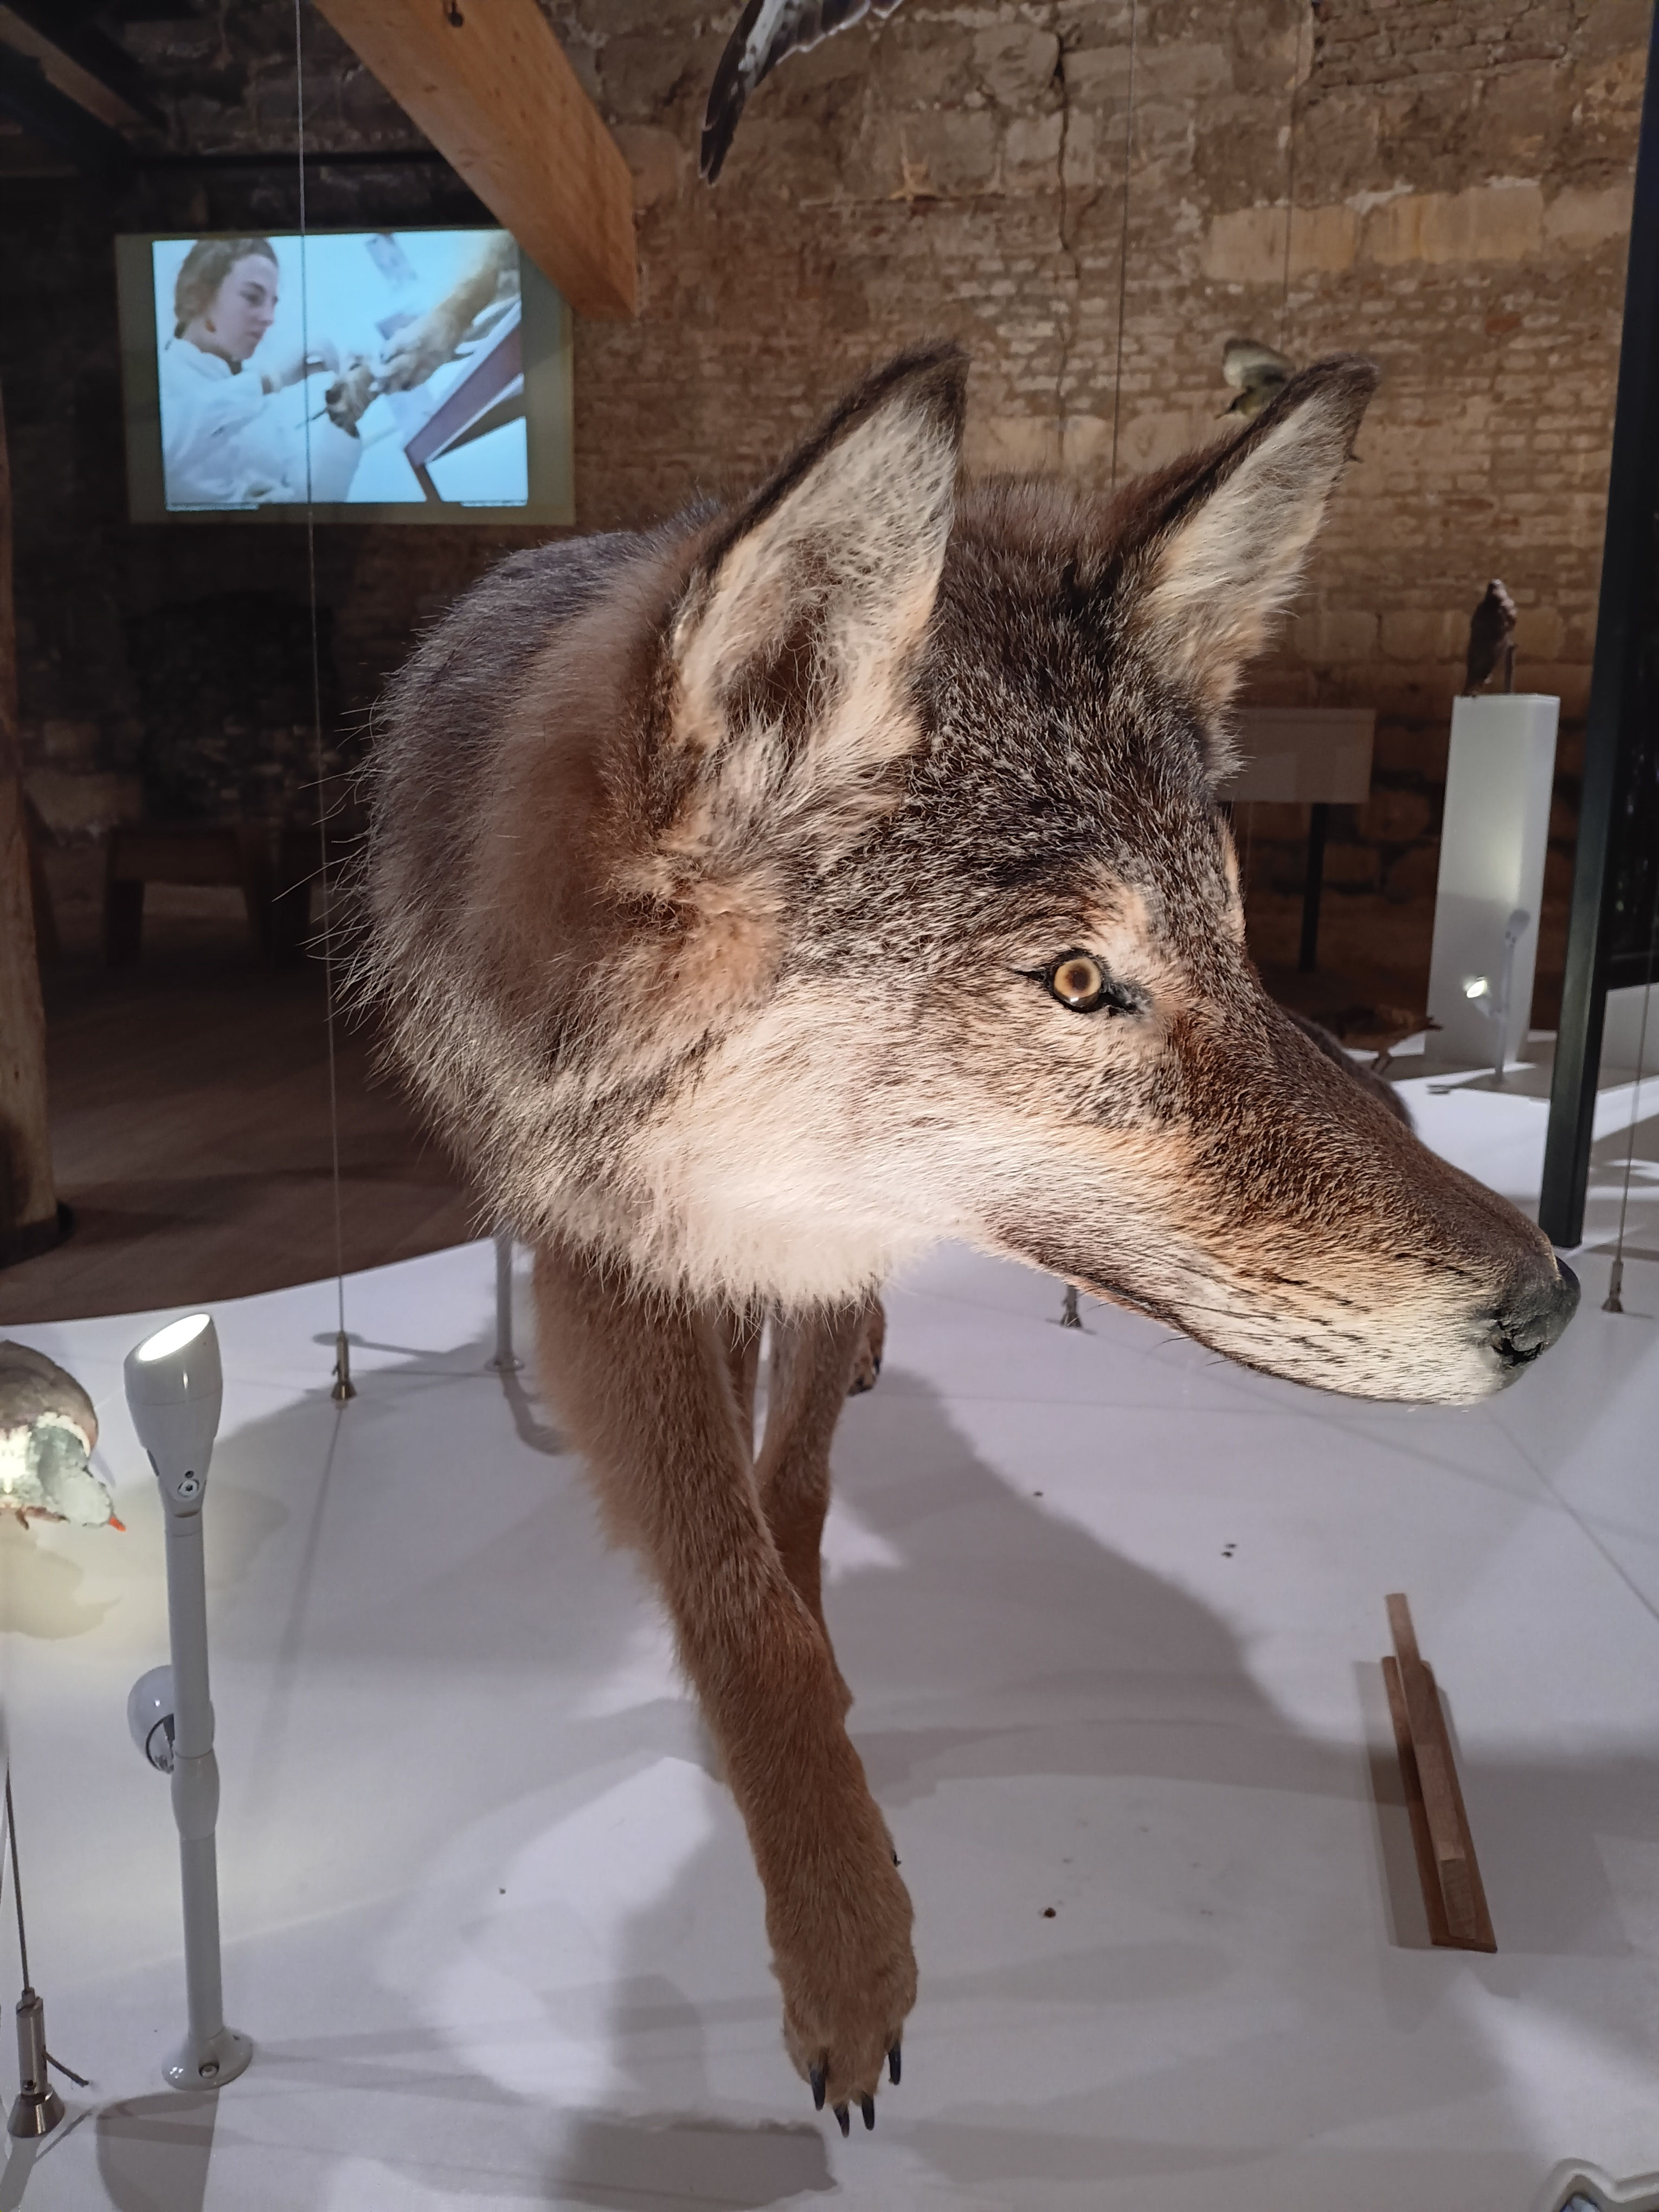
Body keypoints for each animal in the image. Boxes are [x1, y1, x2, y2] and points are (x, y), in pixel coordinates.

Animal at [362, 346, 1577, 2133]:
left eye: (1231, 931)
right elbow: (730, 1584)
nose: (1554, 1301)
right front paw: (841, 1933)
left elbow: (789, 1507)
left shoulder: (833, 1245)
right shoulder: (608, 1264)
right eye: (1078, 981)